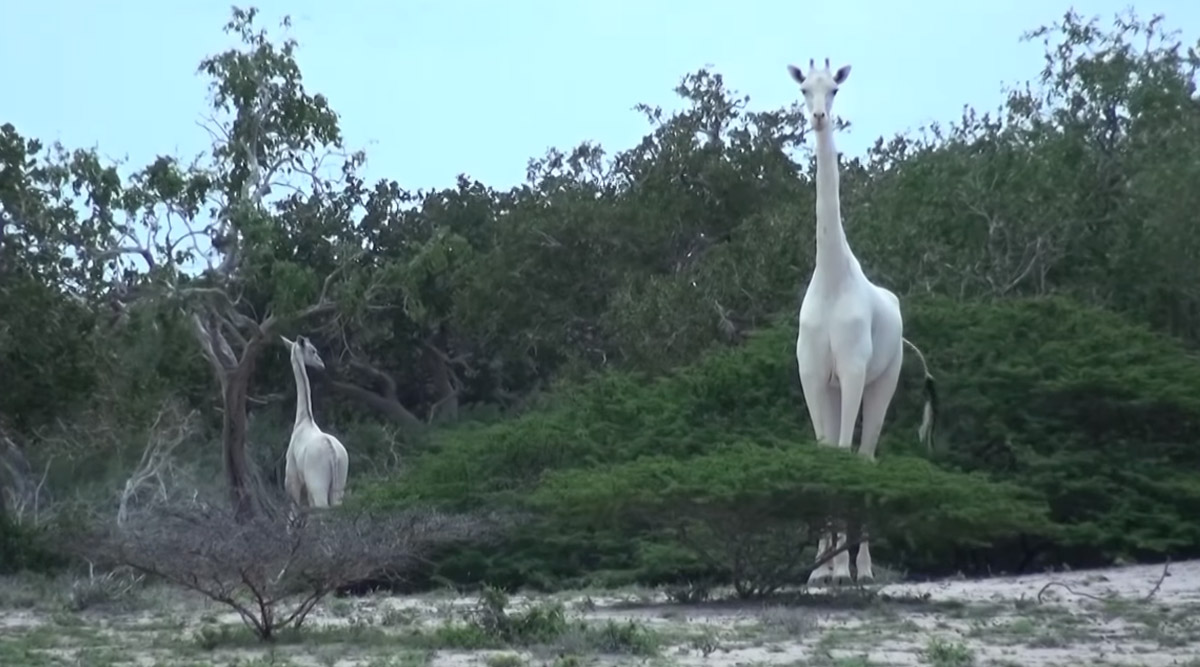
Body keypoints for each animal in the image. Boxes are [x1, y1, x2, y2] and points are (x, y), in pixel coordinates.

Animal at [281, 335, 349, 509]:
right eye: (313, 350)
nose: (321, 365)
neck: (303, 420)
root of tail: (332, 453)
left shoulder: (292, 480)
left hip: (318, 485)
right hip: (339, 485)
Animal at [787, 59, 937, 586]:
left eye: (834, 89)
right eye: (803, 90)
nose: (818, 117)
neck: (832, 278)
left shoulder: (852, 372)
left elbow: (847, 456)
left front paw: (840, 567)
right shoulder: (814, 376)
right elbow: (824, 453)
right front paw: (818, 570)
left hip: (882, 383)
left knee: (868, 456)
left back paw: (865, 567)